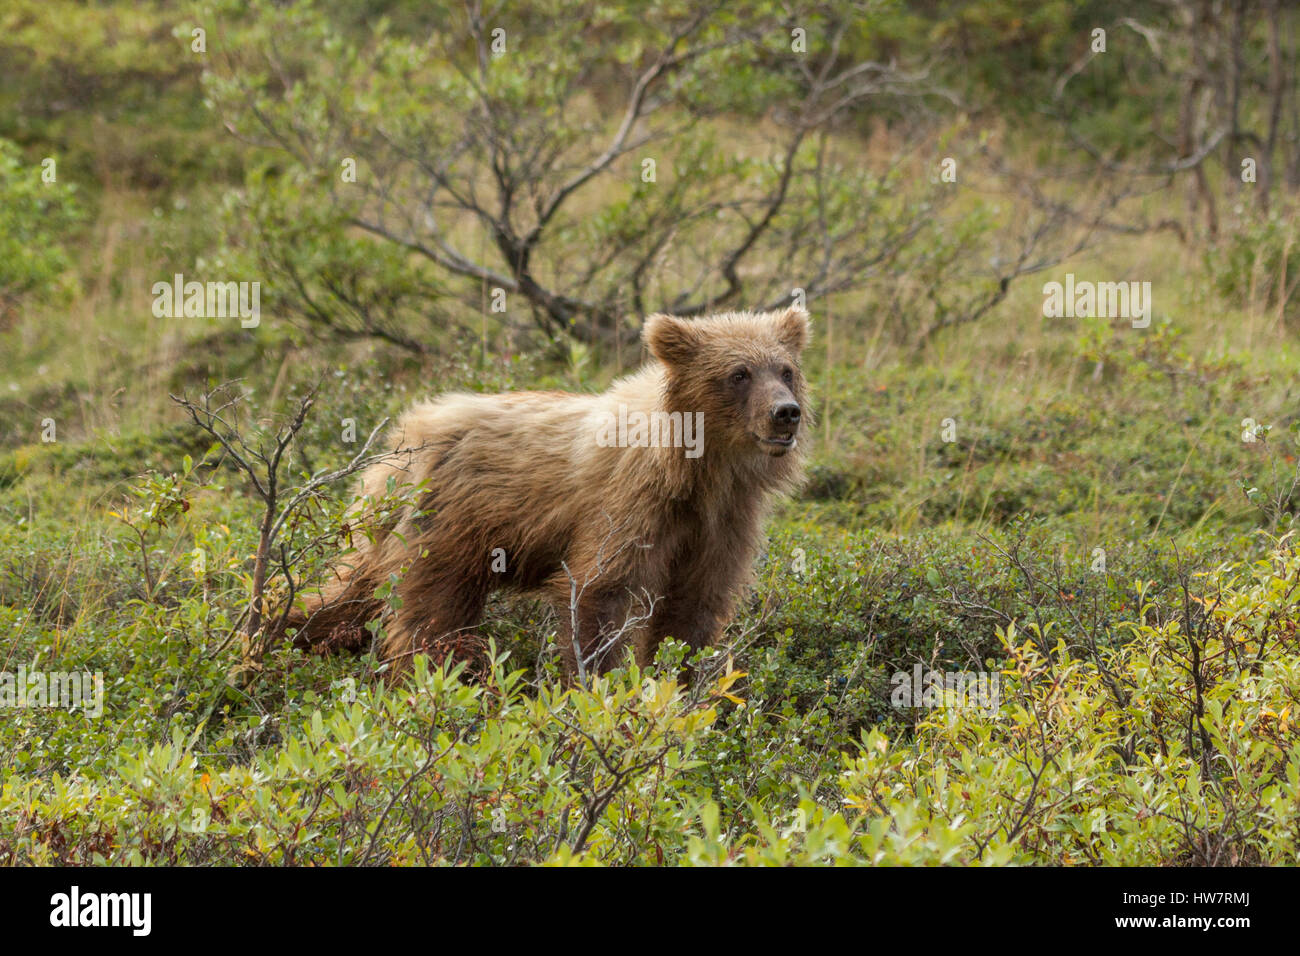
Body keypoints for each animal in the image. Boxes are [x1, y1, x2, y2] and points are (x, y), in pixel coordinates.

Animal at [280, 306, 812, 680]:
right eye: (739, 373)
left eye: (785, 369)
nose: (786, 413)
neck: (701, 471)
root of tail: (397, 440)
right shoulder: (630, 506)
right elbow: (597, 593)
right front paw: (593, 688)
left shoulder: (723, 522)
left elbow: (692, 610)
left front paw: (678, 688)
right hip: (445, 527)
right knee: (428, 616)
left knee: (348, 594)